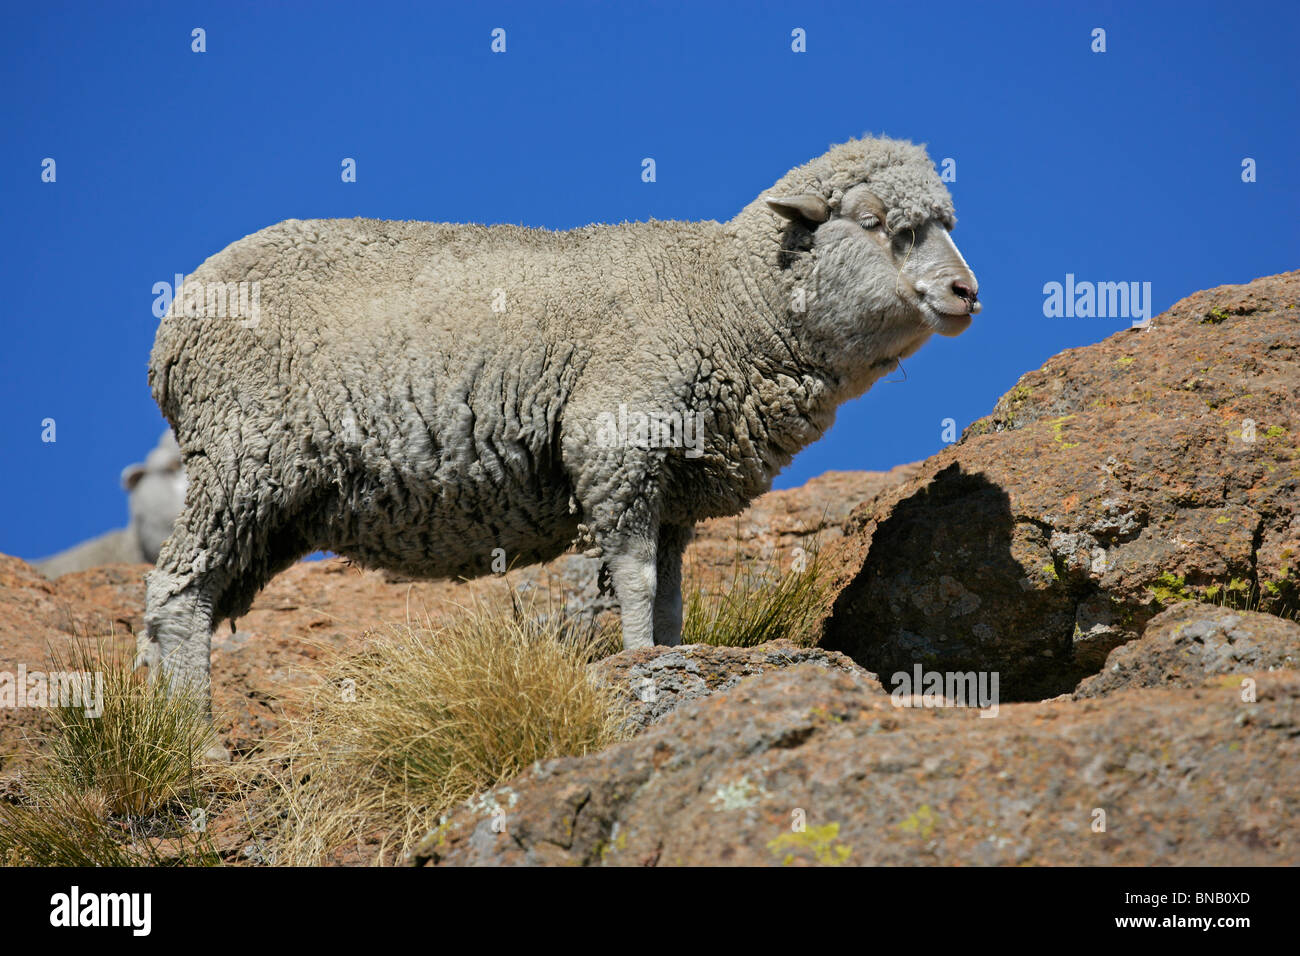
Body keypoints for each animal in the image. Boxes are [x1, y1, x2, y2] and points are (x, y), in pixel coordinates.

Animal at [141, 134, 981, 722]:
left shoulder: (671, 488)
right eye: (875, 223)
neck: (724, 299)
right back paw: (195, 736)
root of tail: (174, 325)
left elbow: (671, 592)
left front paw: (673, 655)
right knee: (176, 592)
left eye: (945, 223)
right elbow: (636, 579)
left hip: (273, 501)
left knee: (191, 601)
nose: (966, 291)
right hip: (242, 457)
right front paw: (640, 664)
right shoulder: (618, 441)